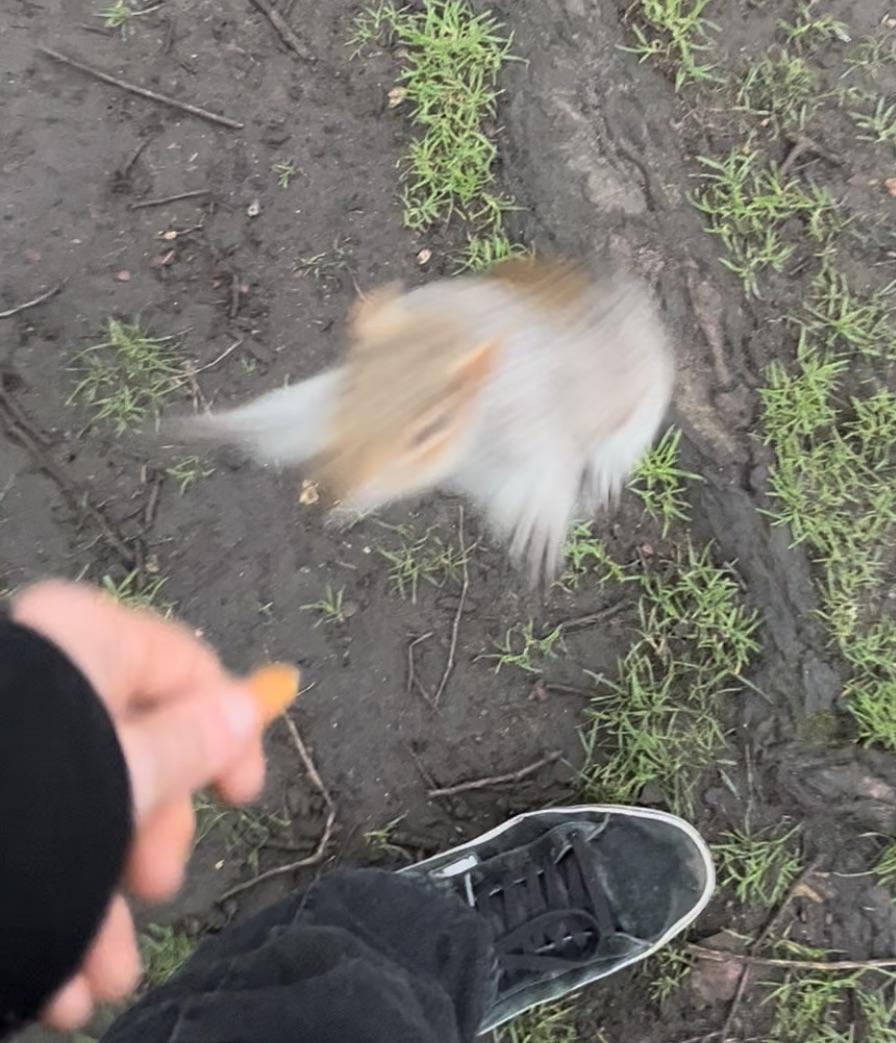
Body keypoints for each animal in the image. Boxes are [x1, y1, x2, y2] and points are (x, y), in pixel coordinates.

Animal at [170, 256, 675, 580]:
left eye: (432, 428)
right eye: (351, 387)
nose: (337, 483)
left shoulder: (539, 420)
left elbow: (550, 469)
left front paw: (539, 526)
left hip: (640, 371)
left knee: (641, 411)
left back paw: (608, 463)